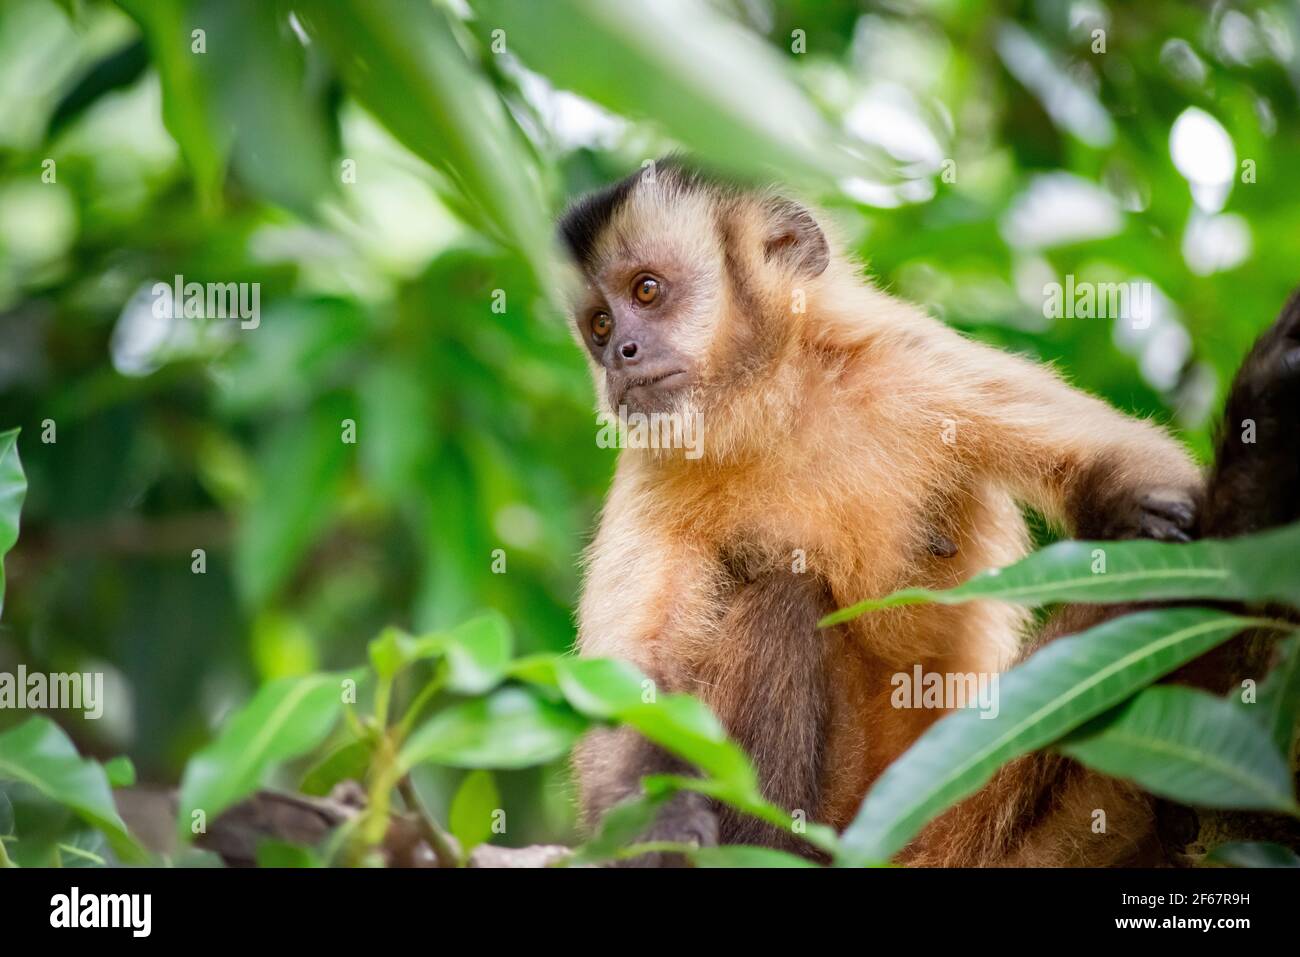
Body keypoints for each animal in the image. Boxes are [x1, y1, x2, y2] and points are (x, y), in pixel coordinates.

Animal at [557, 159, 1229, 866]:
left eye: (647, 291)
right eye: (599, 324)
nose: (621, 354)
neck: (776, 406)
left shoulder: (908, 360)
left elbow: (1118, 465)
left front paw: (1148, 511)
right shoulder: (652, 468)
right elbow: (635, 677)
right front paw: (654, 821)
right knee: (786, 591)